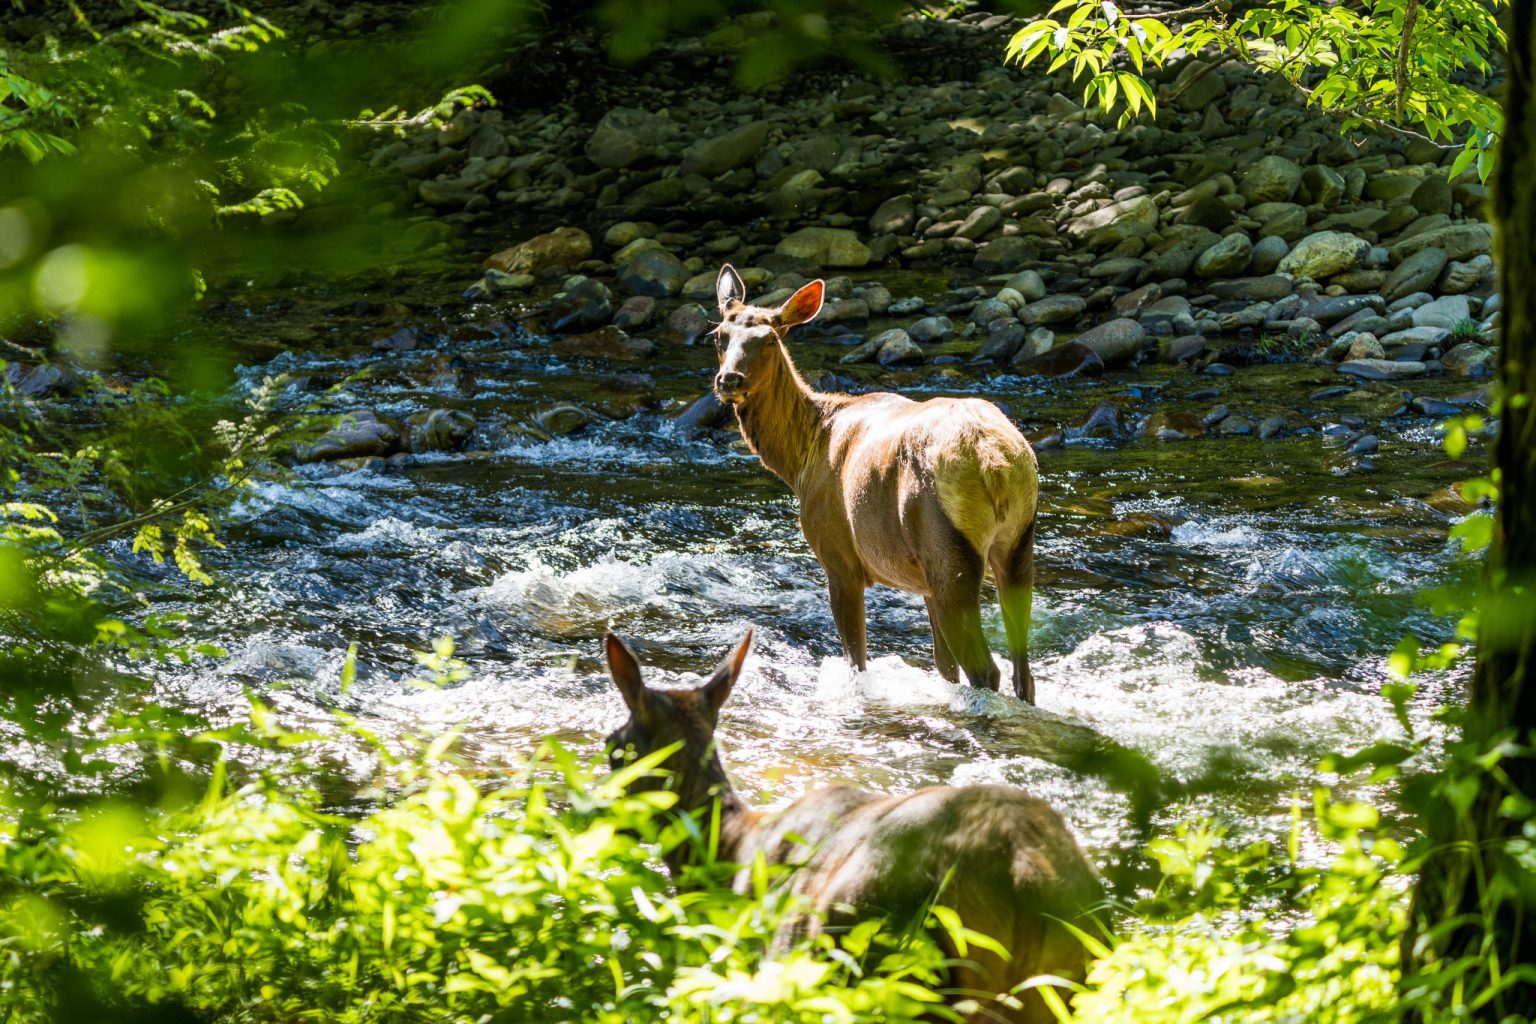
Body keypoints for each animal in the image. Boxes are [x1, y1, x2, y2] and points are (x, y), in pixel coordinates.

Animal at [710, 264, 1042, 702]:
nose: (729, 379)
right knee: (1023, 671)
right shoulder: (923, 584)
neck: (801, 459)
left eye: (770, 338)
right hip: (1018, 542)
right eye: (719, 335)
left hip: (947, 548)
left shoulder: (839, 558)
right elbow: (943, 667)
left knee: (986, 669)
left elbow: (857, 662)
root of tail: (996, 464)